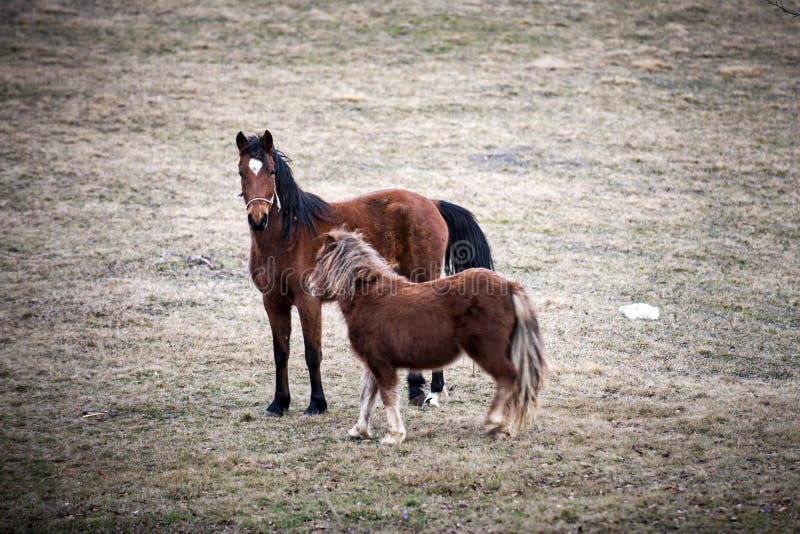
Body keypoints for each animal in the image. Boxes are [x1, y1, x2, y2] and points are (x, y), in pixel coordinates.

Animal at [236, 130, 494, 416]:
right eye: (241, 172)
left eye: (271, 172)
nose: (257, 218)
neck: (287, 237)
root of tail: (432, 203)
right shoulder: (272, 301)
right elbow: (280, 352)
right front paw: (279, 403)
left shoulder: (308, 301)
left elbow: (312, 353)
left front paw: (317, 403)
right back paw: (415, 389)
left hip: (424, 275)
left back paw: (433, 392)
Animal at [308, 230, 547, 445]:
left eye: (319, 260)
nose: (309, 285)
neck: (367, 298)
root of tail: (509, 286)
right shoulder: (372, 362)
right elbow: (367, 395)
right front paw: (359, 431)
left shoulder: (381, 364)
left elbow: (387, 396)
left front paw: (393, 436)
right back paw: (503, 427)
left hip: (486, 351)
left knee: (509, 377)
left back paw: (494, 423)